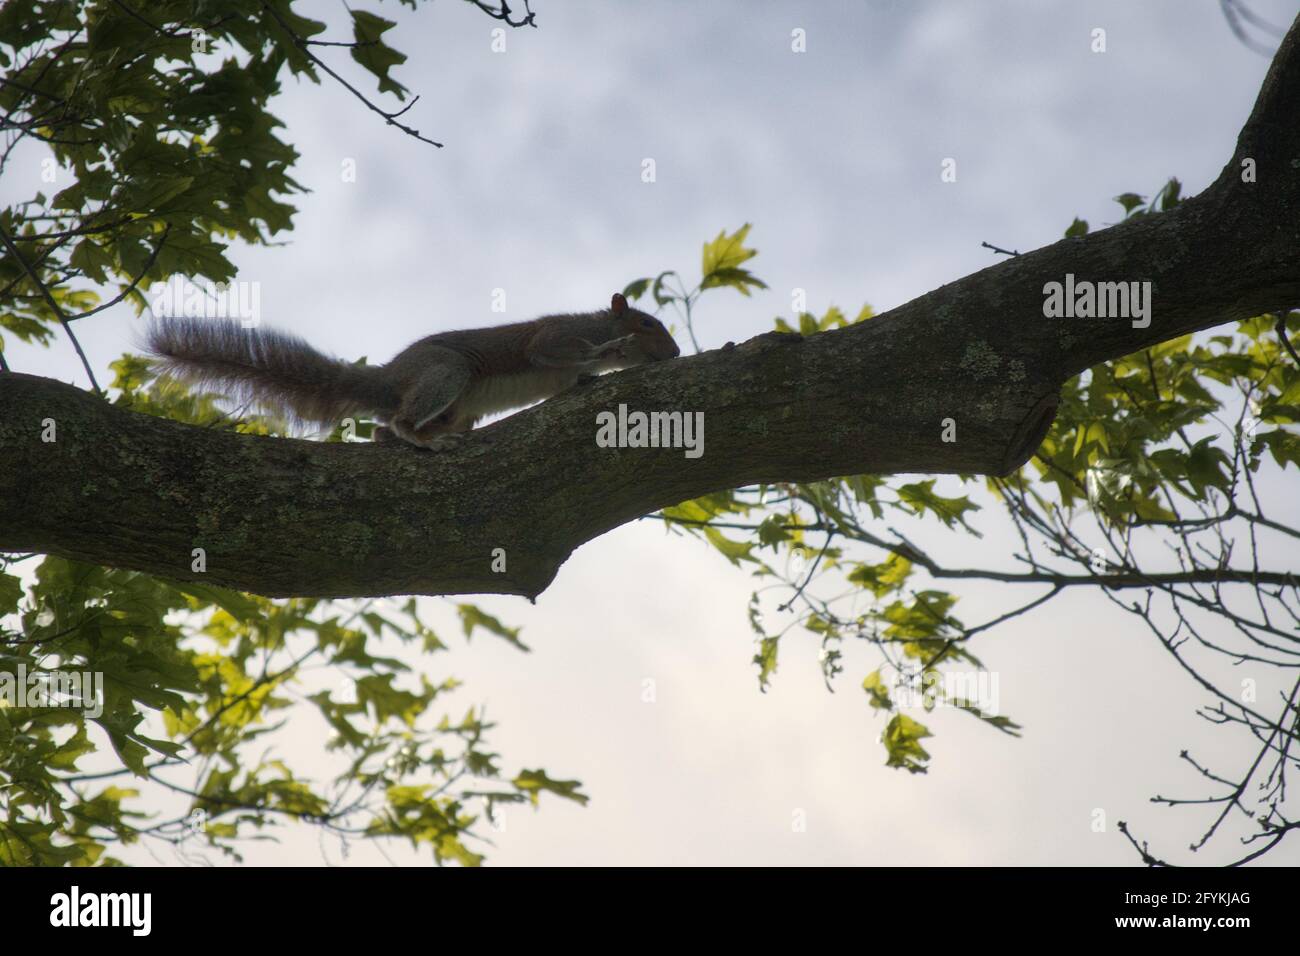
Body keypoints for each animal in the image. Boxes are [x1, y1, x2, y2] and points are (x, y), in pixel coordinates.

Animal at [144, 292, 681, 449]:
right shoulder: (552, 337)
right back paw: (423, 441)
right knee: (403, 420)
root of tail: (390, 377)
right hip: (445, 373)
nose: (675, 353)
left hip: (456, 407)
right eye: (648, 322)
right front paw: (610, 349)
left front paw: (593, 374)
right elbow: (549, 353)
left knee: (387, 429)